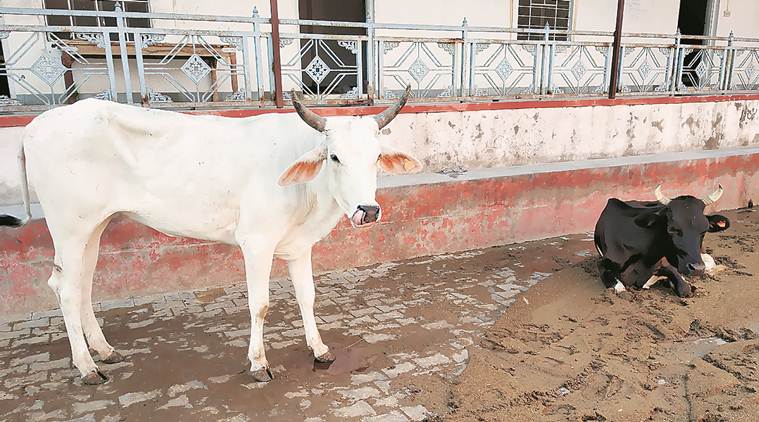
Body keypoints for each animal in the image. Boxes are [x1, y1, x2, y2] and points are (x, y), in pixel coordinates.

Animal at [0, 86, 422, 385]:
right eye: (334, 157)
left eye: (375, 157)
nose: (368, 210)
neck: (309, 193)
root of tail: (35, 126)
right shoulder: (256, 242)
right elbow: (260, 305)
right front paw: (258, 363)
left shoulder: (299, 246)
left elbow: (308, 297)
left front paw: (319, 349)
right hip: (69, 227)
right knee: (66, 289)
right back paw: (87, 367)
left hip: (94, 227)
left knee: (84, 284)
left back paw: (104, 351)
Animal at [593, 185, 730, 297]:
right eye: (672, 229)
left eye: (704, 230)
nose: (697, 268)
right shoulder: (603, 263)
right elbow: (620, 288)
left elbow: (684, 287)